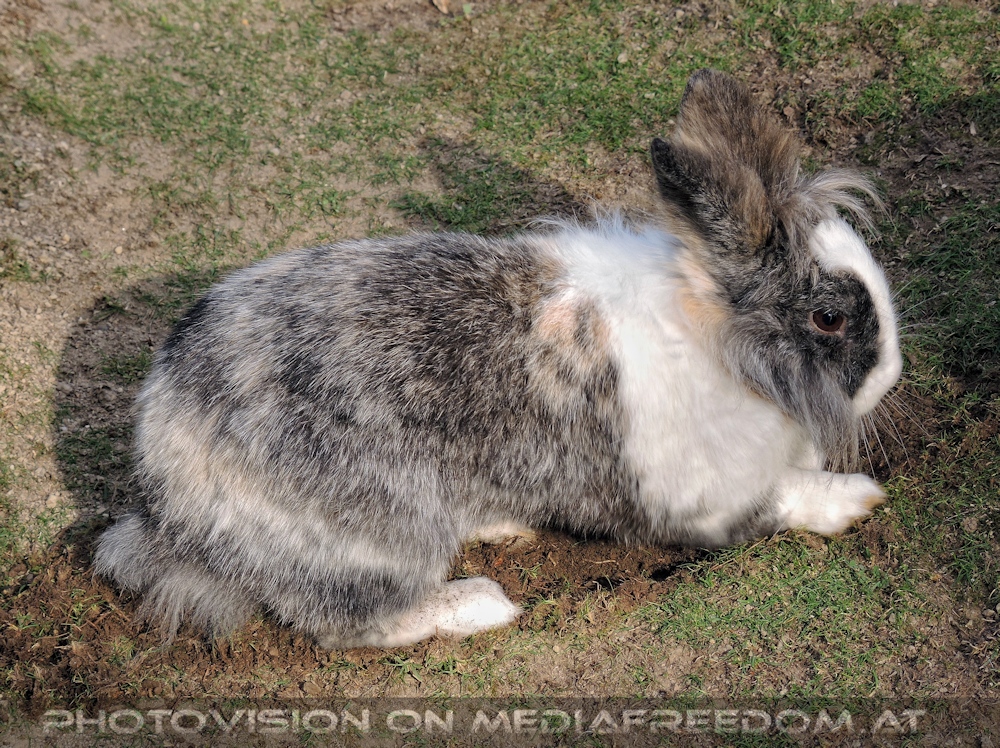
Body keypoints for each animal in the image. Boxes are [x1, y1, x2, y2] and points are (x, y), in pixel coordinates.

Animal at [94, 69, 903, 649]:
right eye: (829, 318)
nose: (890, 376)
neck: (716, 341)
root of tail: (167, 488)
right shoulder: (695, 496)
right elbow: (782, 499)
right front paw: (855, 498)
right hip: (373, 538)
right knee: (347, 621)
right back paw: (481, 604)